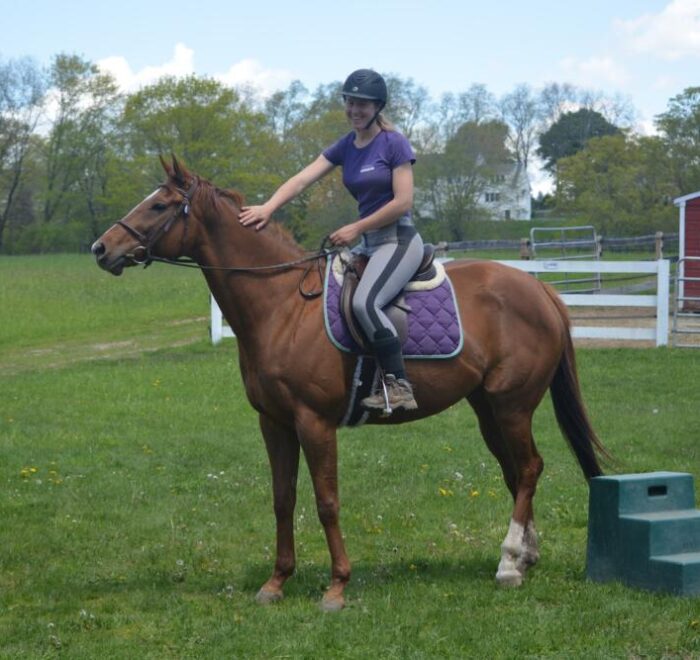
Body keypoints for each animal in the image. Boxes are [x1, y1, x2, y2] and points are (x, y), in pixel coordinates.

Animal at [91, 156, 608, 611]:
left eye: (159, 205)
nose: (100, 249)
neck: (282, 305)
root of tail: (539, 288)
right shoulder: (274, 423)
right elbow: (282, 499)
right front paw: (276, 582)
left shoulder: (314, 422)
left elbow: (326, 502)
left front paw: (337, 587)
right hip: (486, 408)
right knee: (515, 472)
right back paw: (526, 556)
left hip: (512, 405)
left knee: (529, 469)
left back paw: (509, 563)